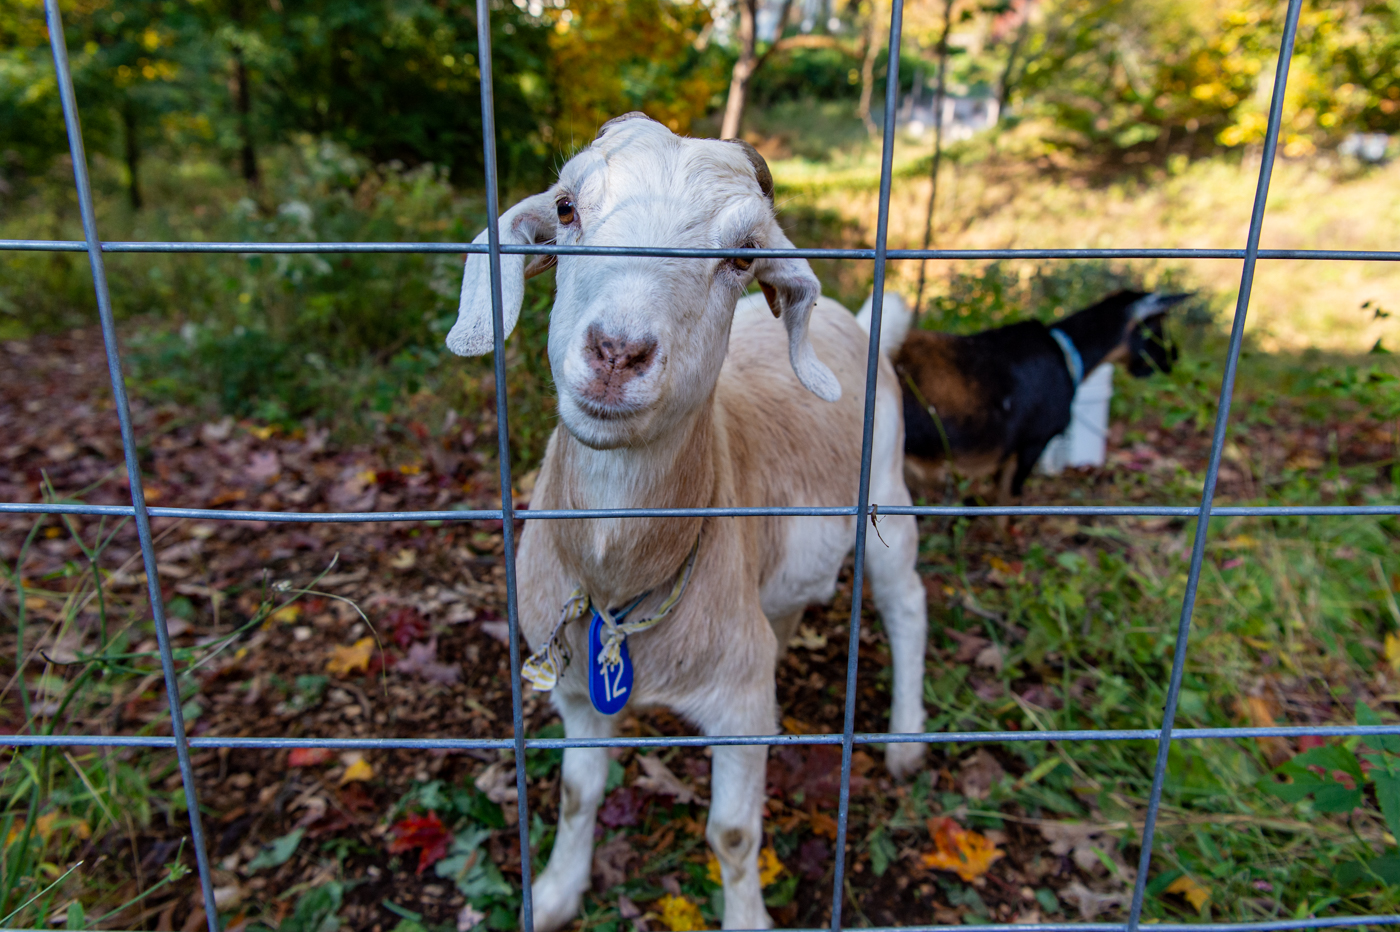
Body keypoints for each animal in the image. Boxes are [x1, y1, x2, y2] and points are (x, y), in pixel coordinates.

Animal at [446, 112, 929, 932]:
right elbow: (577, 792)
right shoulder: (575, 692)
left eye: (742, 255)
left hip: (887, 496)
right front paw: (556, 894)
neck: (619, 582)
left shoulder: (735, 704)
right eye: (567, 209)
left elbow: (732, 833)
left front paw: (746, 918)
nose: (617, 351)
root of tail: (855, 319)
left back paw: (904, 739)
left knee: (906, 603)